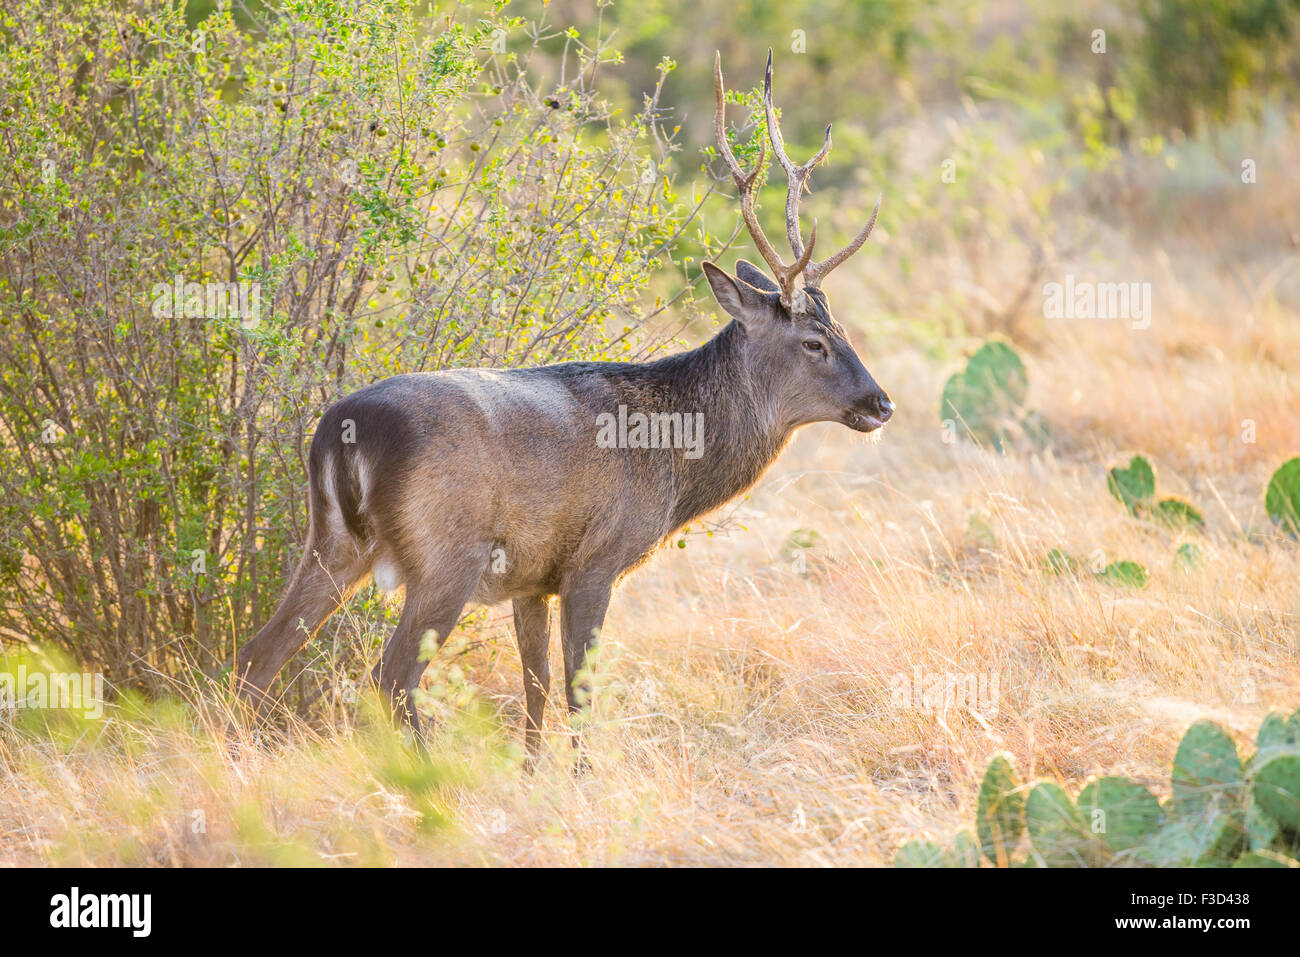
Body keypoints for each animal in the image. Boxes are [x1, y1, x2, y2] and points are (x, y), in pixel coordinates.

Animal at [234, 51, 893, 764]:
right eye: (813, 343)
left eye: (844, 329)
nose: (881, 403)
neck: (672, 457)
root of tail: (338, 433)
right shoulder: (596, 560)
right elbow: (579, 691)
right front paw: (581, 778)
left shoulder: (532, 579)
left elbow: (537, 689)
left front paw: (533, 774)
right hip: (446, 555)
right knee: (389, 679)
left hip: (332, 541)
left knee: (257, 655)